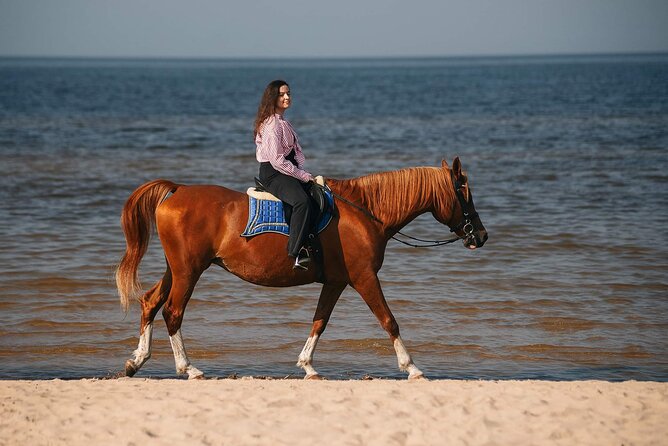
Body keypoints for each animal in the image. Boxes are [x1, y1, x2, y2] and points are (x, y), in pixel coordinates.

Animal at [115, 157, 488, 380]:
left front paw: (307, 365)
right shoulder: (364, 278)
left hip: (177, 268)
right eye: (464, 191)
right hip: (189, 271)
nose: (481, 235)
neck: (365, 212)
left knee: (151, 302)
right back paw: (187, 367)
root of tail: (177, 190)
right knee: (173, 311)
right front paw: (412, 367)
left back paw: (137, 360)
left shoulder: (336, 282)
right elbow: (389, 320)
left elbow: (319, 322)